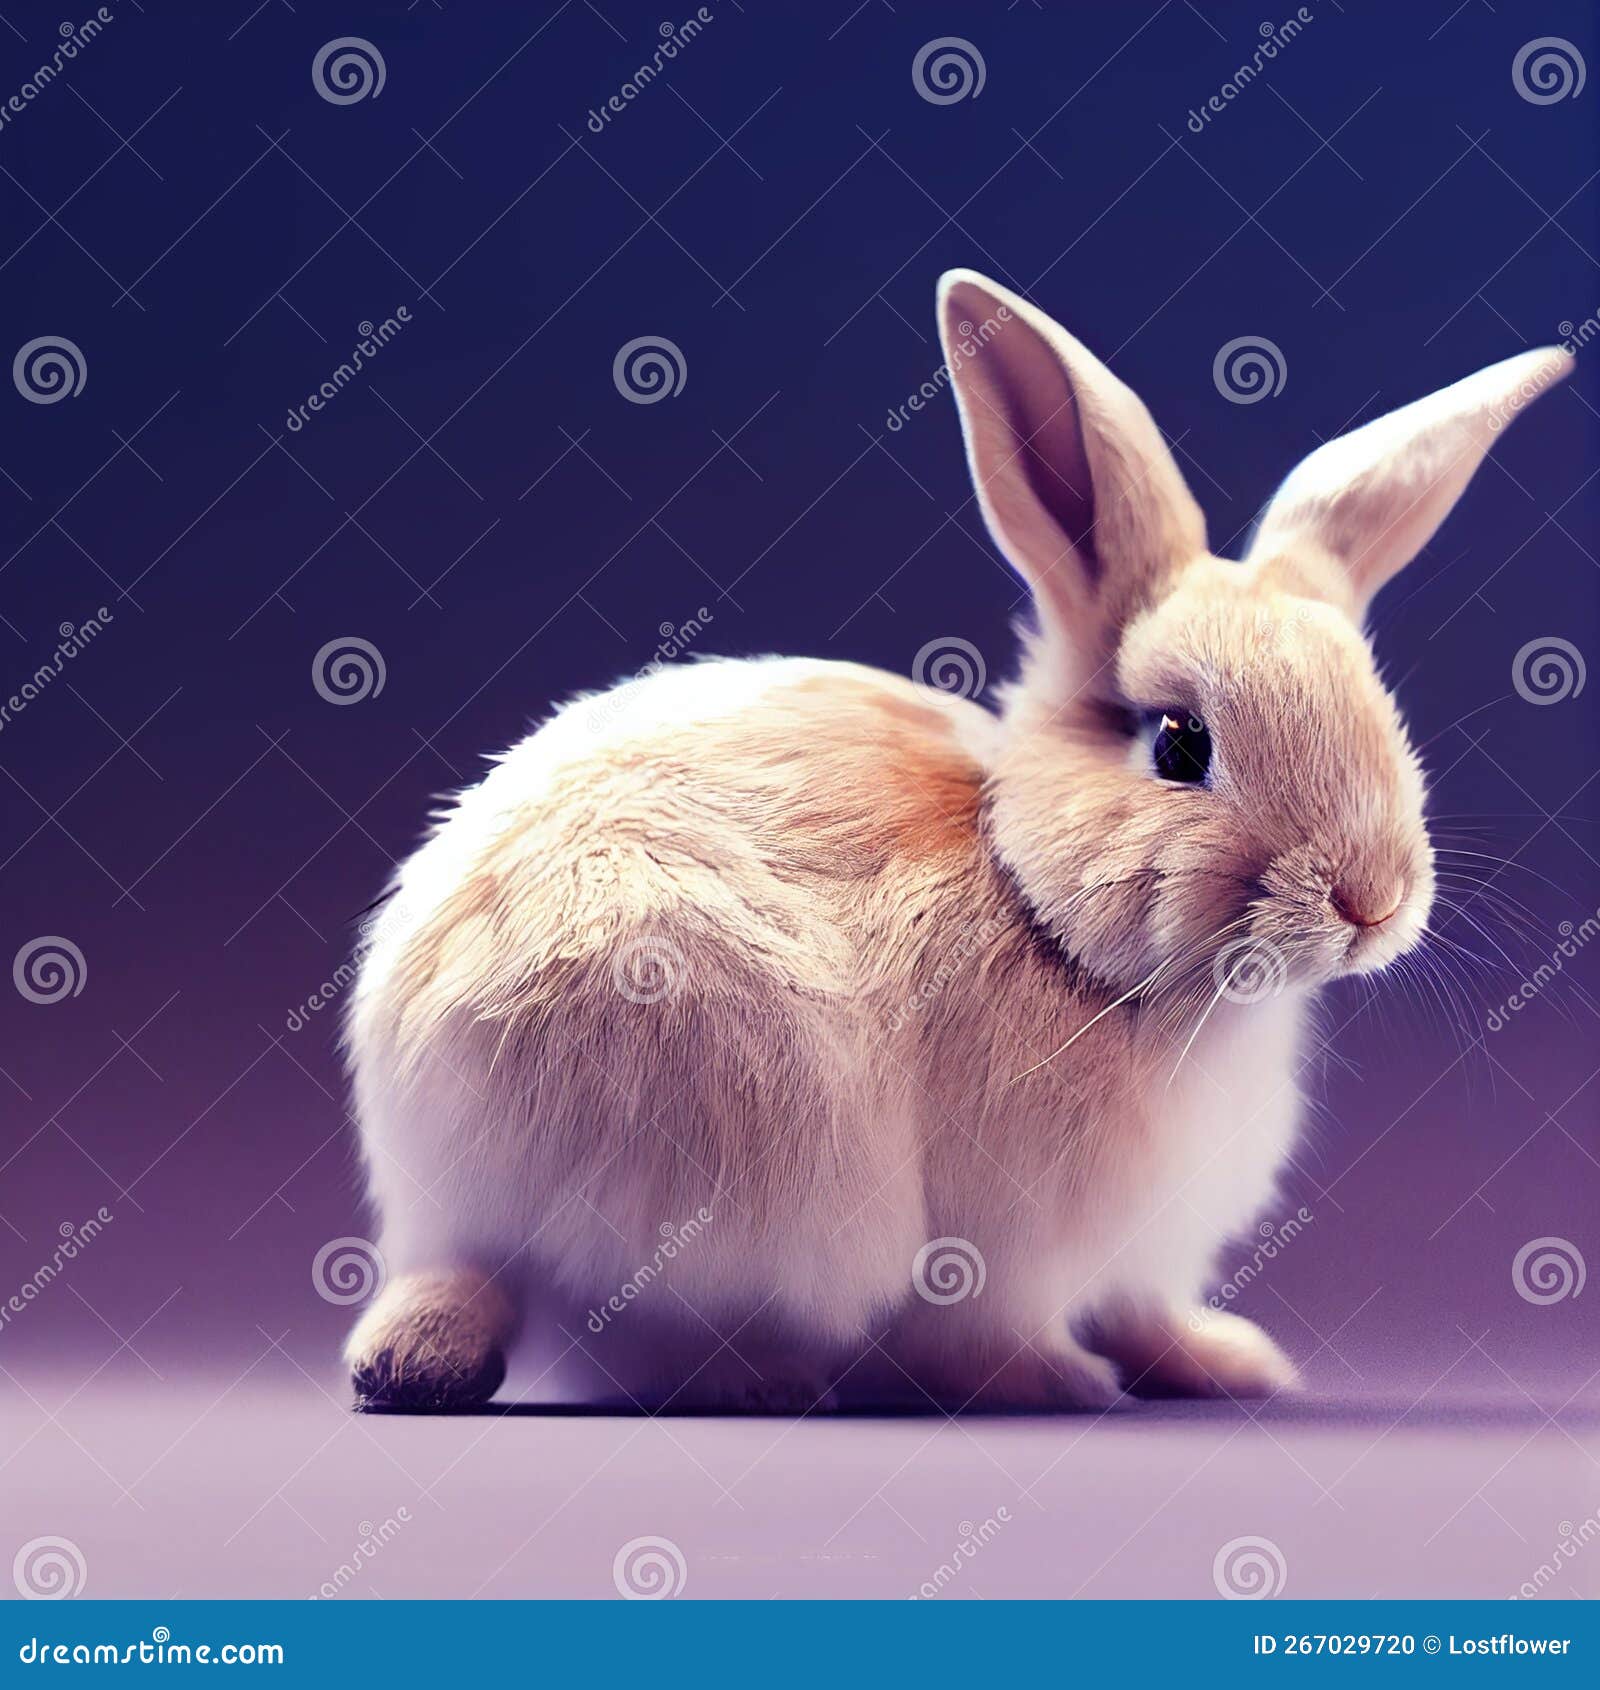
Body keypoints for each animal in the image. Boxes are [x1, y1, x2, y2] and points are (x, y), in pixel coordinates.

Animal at [342, 268, 1571, 1414]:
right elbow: (983, 1333)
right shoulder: (1003, 1248)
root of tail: (444, 1211)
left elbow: (1149, 1311)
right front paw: (1057, 1382)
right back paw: (766, 1381)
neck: (1055, 924)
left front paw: (1228, 1365)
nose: (1372, 902)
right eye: (1180, 745)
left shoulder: (1145, 1256)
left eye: (1380, 717)